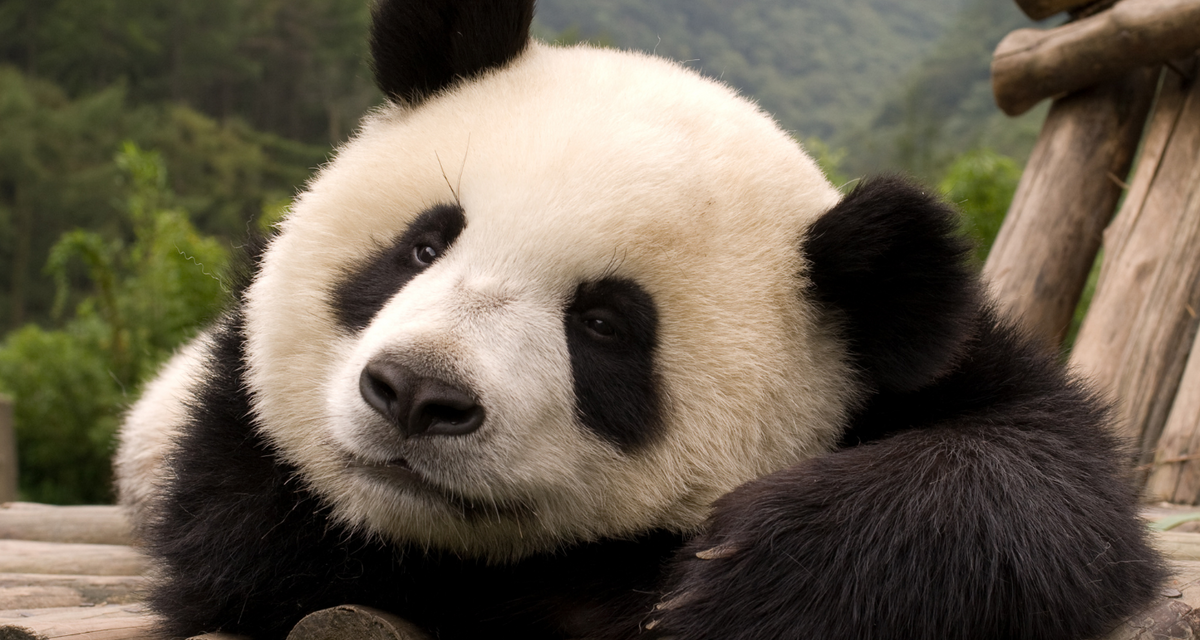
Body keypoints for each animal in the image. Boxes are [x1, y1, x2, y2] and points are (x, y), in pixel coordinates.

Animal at [114, 0, 1166, 638]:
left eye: (606, 326)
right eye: (423, 246)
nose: (416, 394)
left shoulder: (933, 366)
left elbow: (1047, 481)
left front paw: (741, 569)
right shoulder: (232, 451)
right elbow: (254, 542)